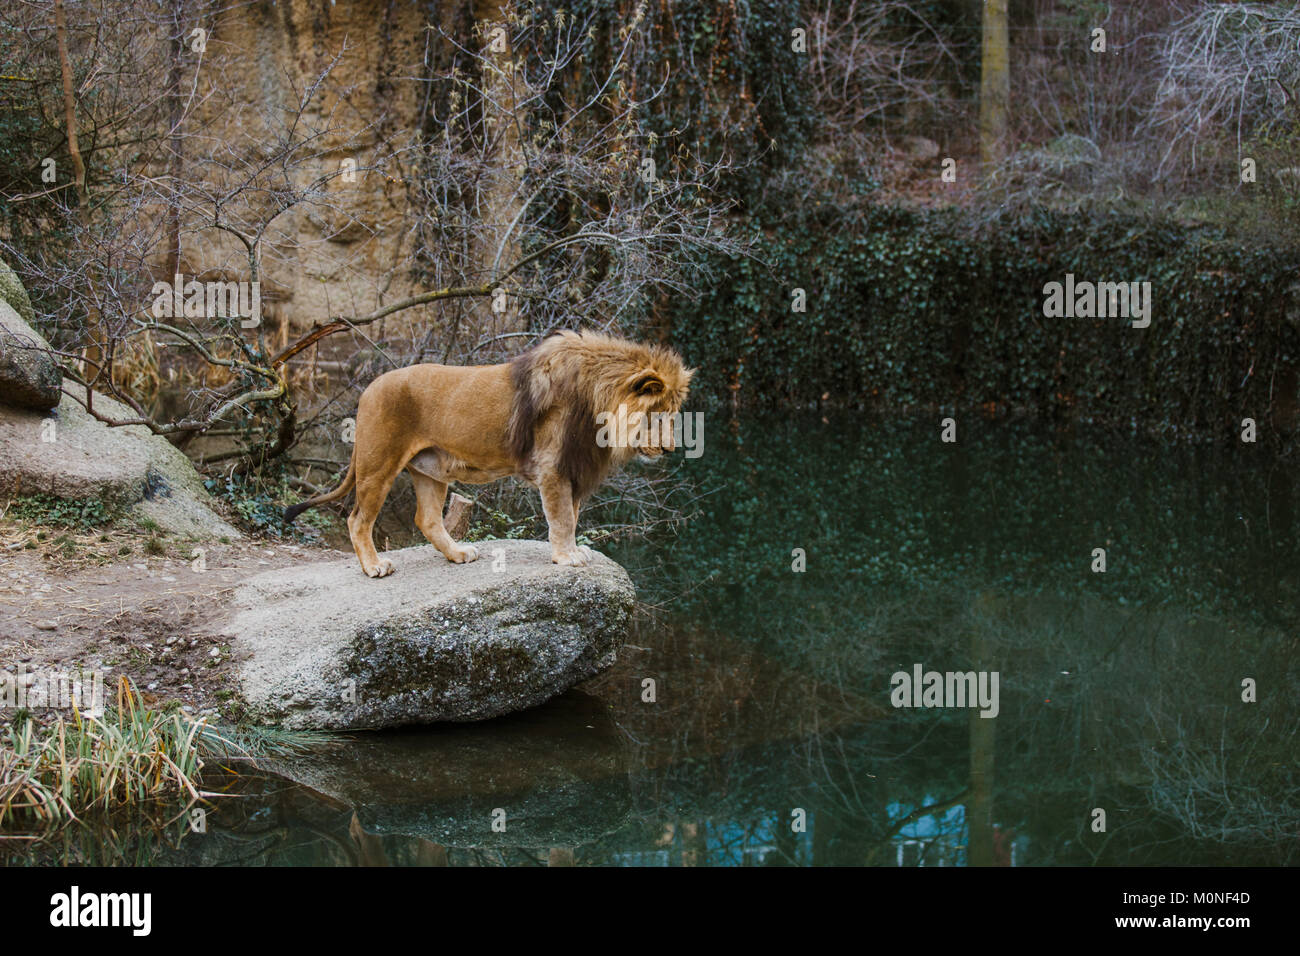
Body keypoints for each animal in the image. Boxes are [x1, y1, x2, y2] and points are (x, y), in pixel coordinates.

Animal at [284, 330, 694, 577]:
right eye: (660, 415)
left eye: (674, 414)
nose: (670, 448)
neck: (598, 402)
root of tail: (367, 388)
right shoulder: (554, 469)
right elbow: (563, 519)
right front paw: (567, 557)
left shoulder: (575, 469)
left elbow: (573, 517)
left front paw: (571, 551)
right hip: (378, 464)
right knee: (358, 520)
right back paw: (374, 567)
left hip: (429, 470)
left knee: (427, 519)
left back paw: (458, 554)